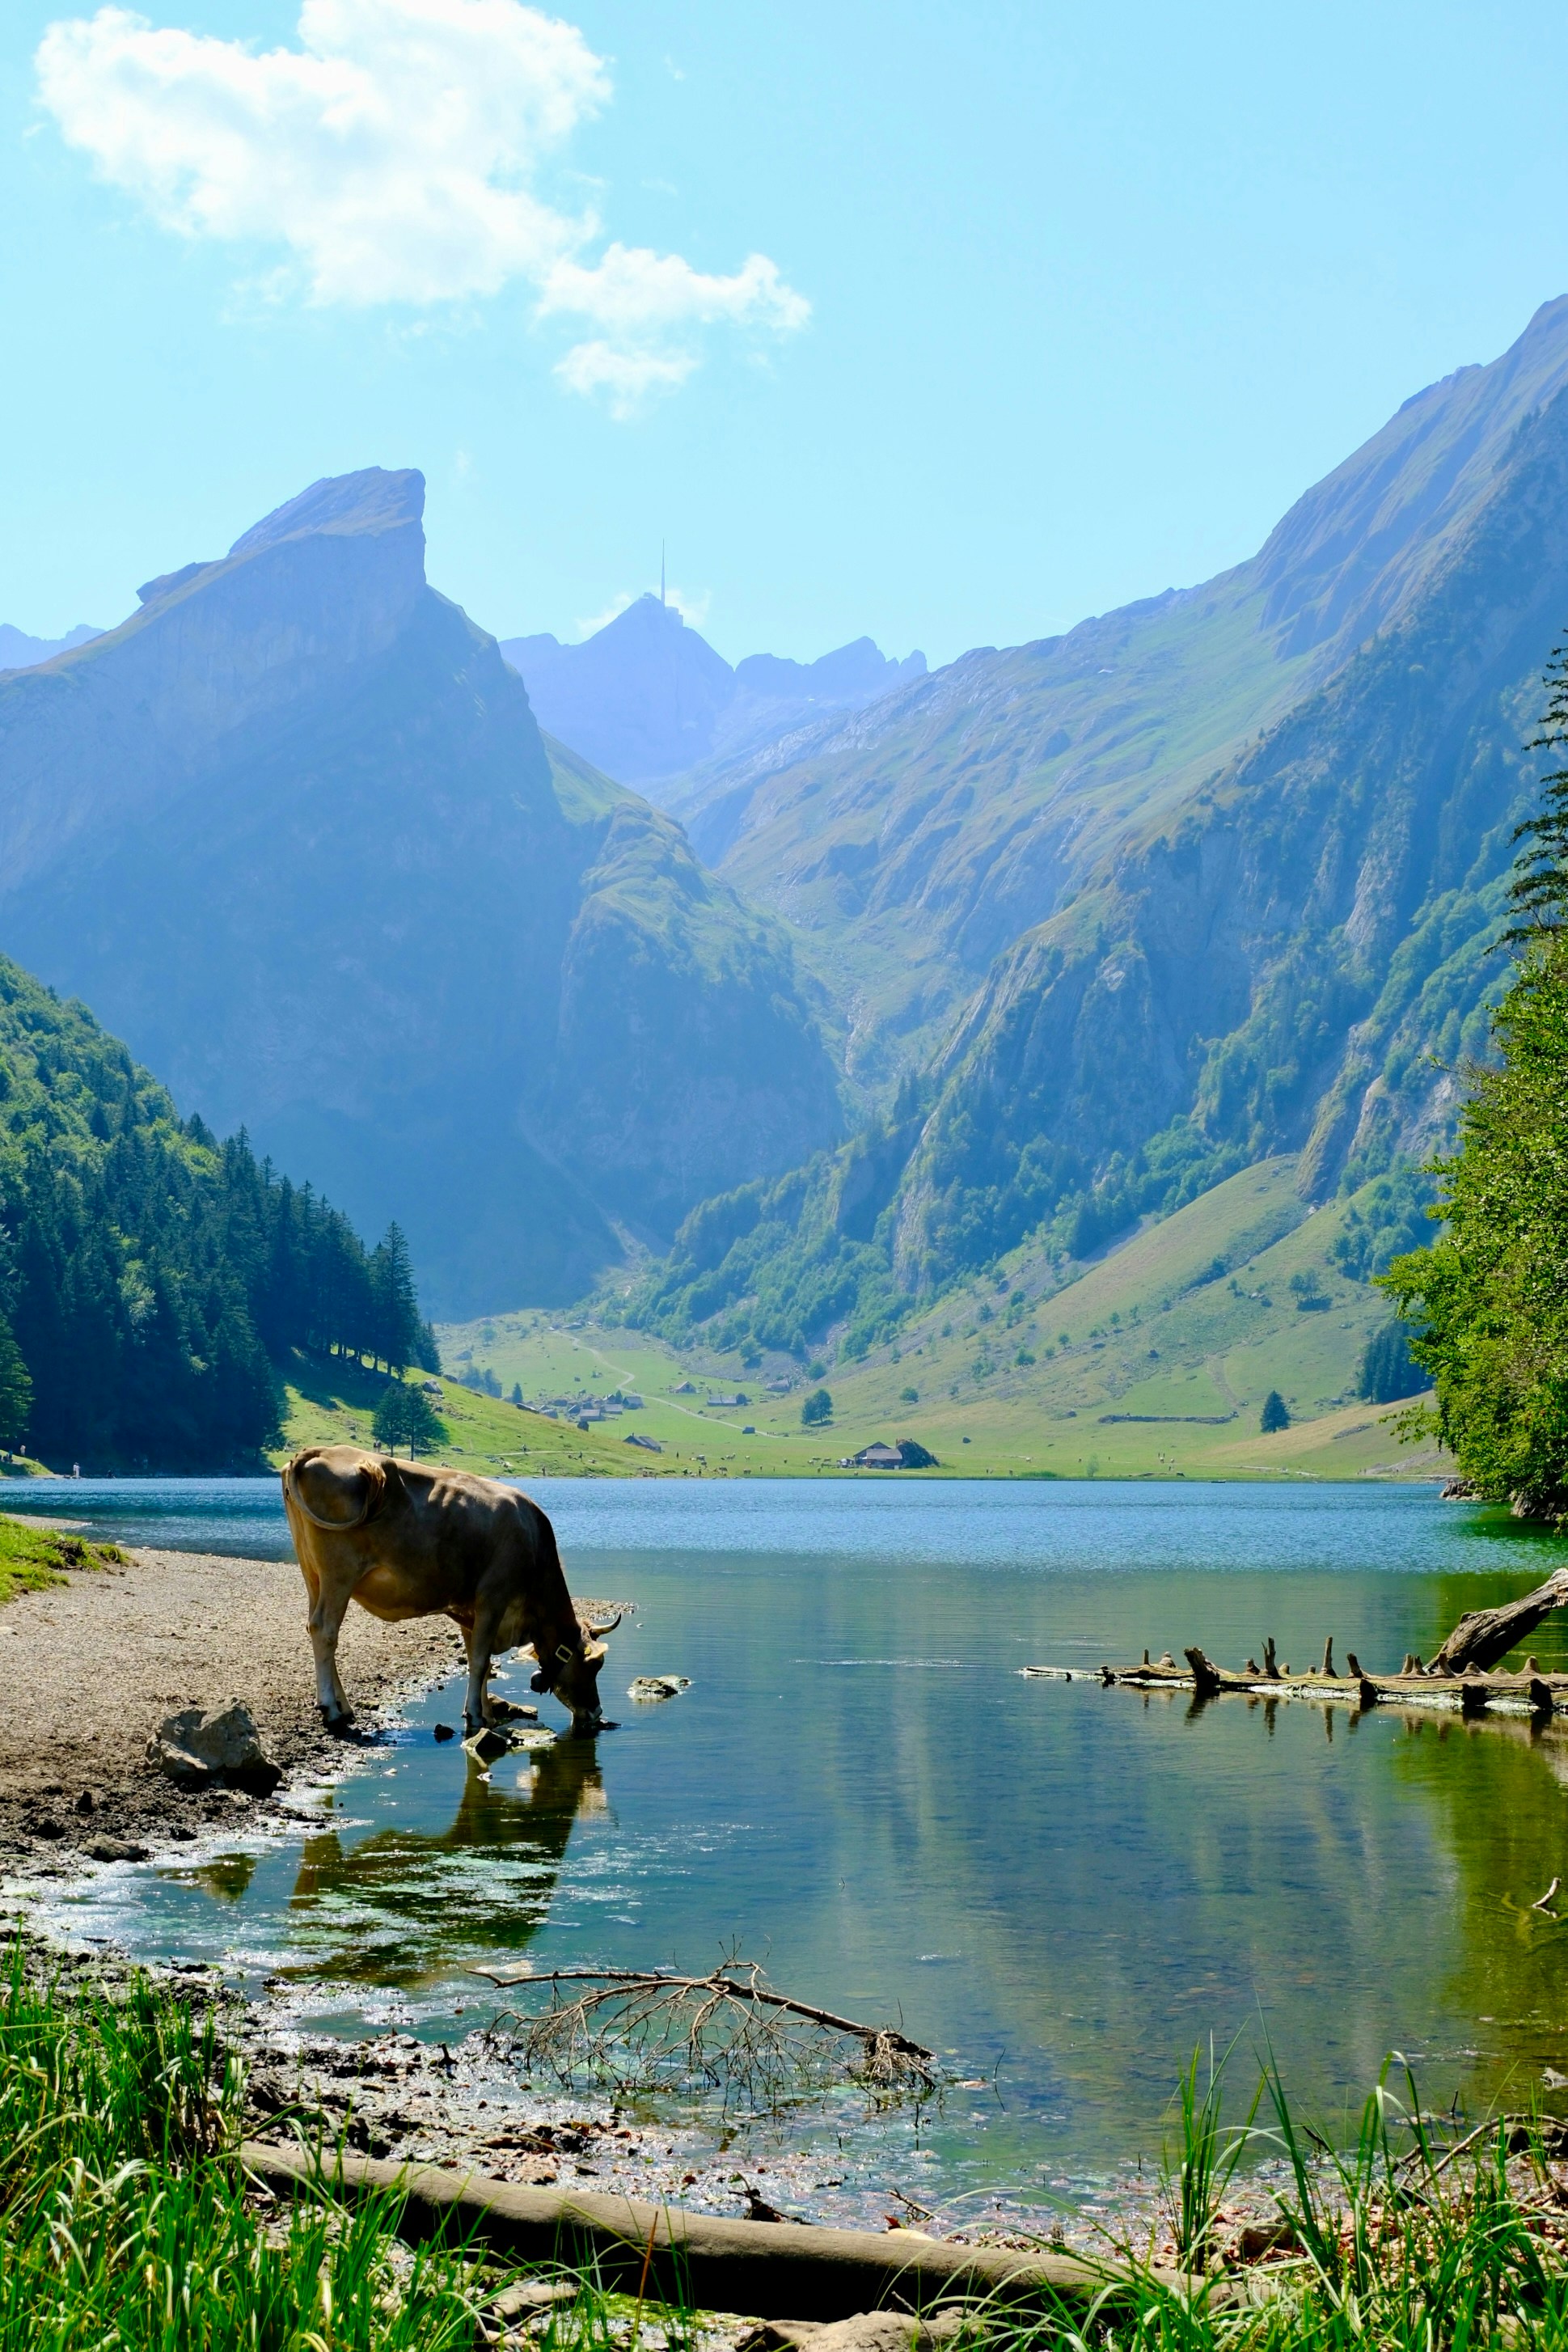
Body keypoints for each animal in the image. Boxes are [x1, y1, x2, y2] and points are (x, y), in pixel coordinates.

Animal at [281, 1446, 620, 1738]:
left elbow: (479, 1662)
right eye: (594, 1665)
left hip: (312, 1573)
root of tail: (320, 1451)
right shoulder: (493, 1598)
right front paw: (475, 1715)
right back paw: (332, 1710)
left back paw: (344, 1706)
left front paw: (487, 1714)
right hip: (339, 1572)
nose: (597, 1712)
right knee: (326, 1630)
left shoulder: (469, 1611)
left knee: (315, 1627)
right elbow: (481, 1661)